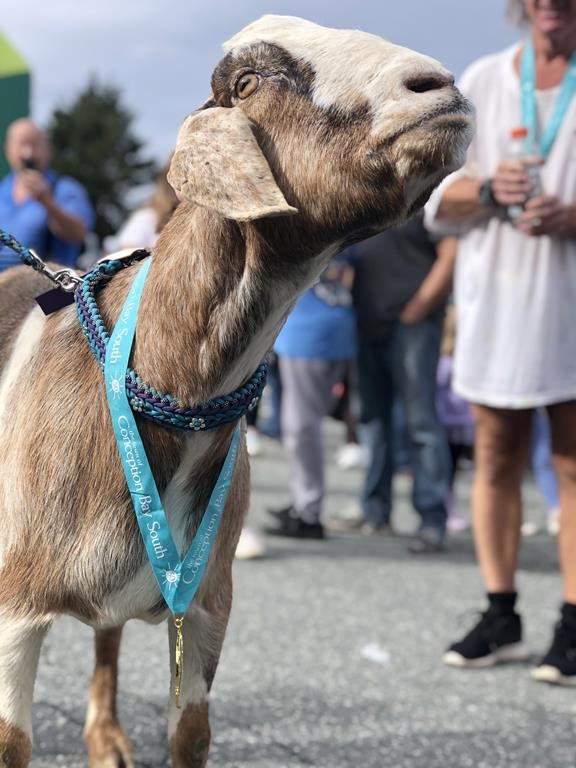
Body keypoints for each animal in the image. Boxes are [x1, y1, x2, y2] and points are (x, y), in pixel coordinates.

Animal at [0, 15, 472, 768]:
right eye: (248, 82)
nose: (438, 85)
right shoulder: (17, 609)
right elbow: (14, 742)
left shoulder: (209, 606)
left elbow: (191, 735)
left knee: (106, 638)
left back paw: (108, 738)